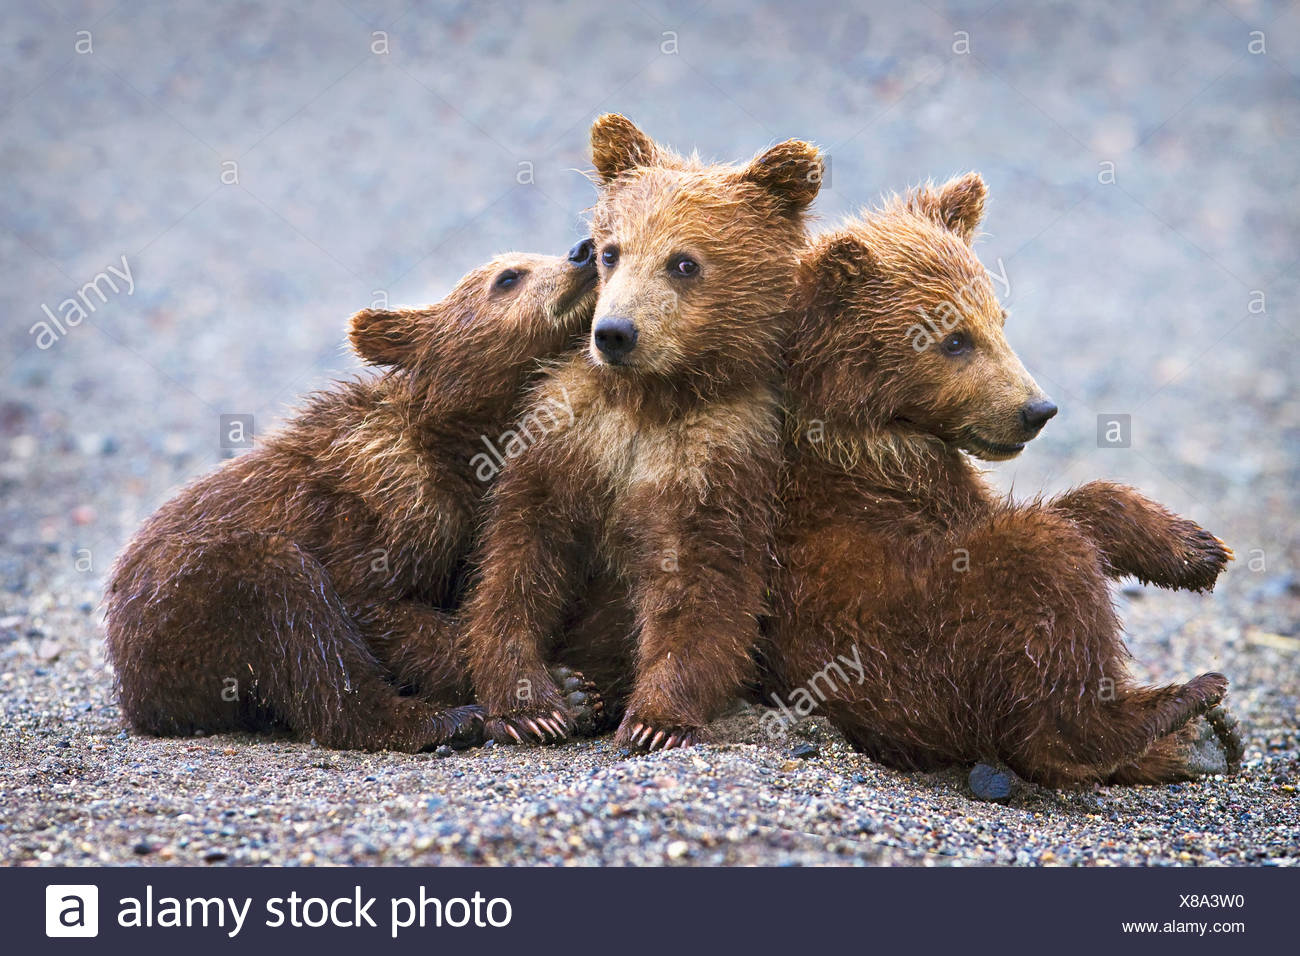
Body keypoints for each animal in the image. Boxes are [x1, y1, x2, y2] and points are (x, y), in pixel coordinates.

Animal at [104, 245, 599, 752]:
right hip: (184, 609)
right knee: (296, 616)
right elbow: (376, 606)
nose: (581, 252)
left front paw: (571, 688)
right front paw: (554, 693)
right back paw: (446, 719)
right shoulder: (380, 506)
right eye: (508, 276)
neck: (457, 445)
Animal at [459, 115, 824, 751]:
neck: (648, 399)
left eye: (684, 262)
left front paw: (656, 720)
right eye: (611, 251)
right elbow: (520, 554)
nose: (614, 332)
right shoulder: (568, 433)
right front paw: (531, 704)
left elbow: (702, 583)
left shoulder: (718, 457)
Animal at [762, 172, 1242, 788]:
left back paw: (1200, 740)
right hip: (916, 646)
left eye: (999, 319)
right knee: (1048, 579)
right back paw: (1186, 704)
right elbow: (1041, 522)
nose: (1037, 409)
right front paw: (1193, 552)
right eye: (954, 340)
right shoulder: (898, 490)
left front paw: (1193, 547)